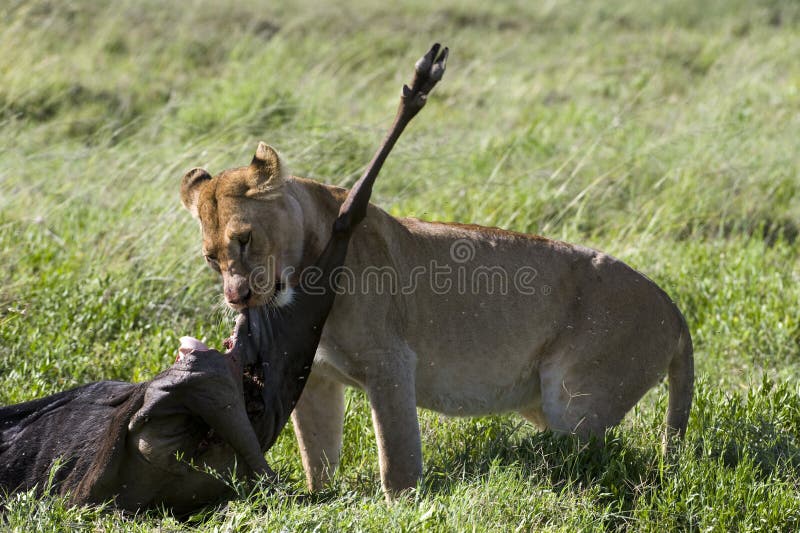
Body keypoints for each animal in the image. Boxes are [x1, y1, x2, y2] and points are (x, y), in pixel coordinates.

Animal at [180, 46, 693, 497]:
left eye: (245, 239)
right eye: (210, 258)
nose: (236, 298)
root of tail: (674, 309)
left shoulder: (390, 363)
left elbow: (397, 454)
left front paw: (402, 507)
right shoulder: (316, 379)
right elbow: (317, 455)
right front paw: (319, 497)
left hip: (574, 398)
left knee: (597, 459)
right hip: (545, 403)